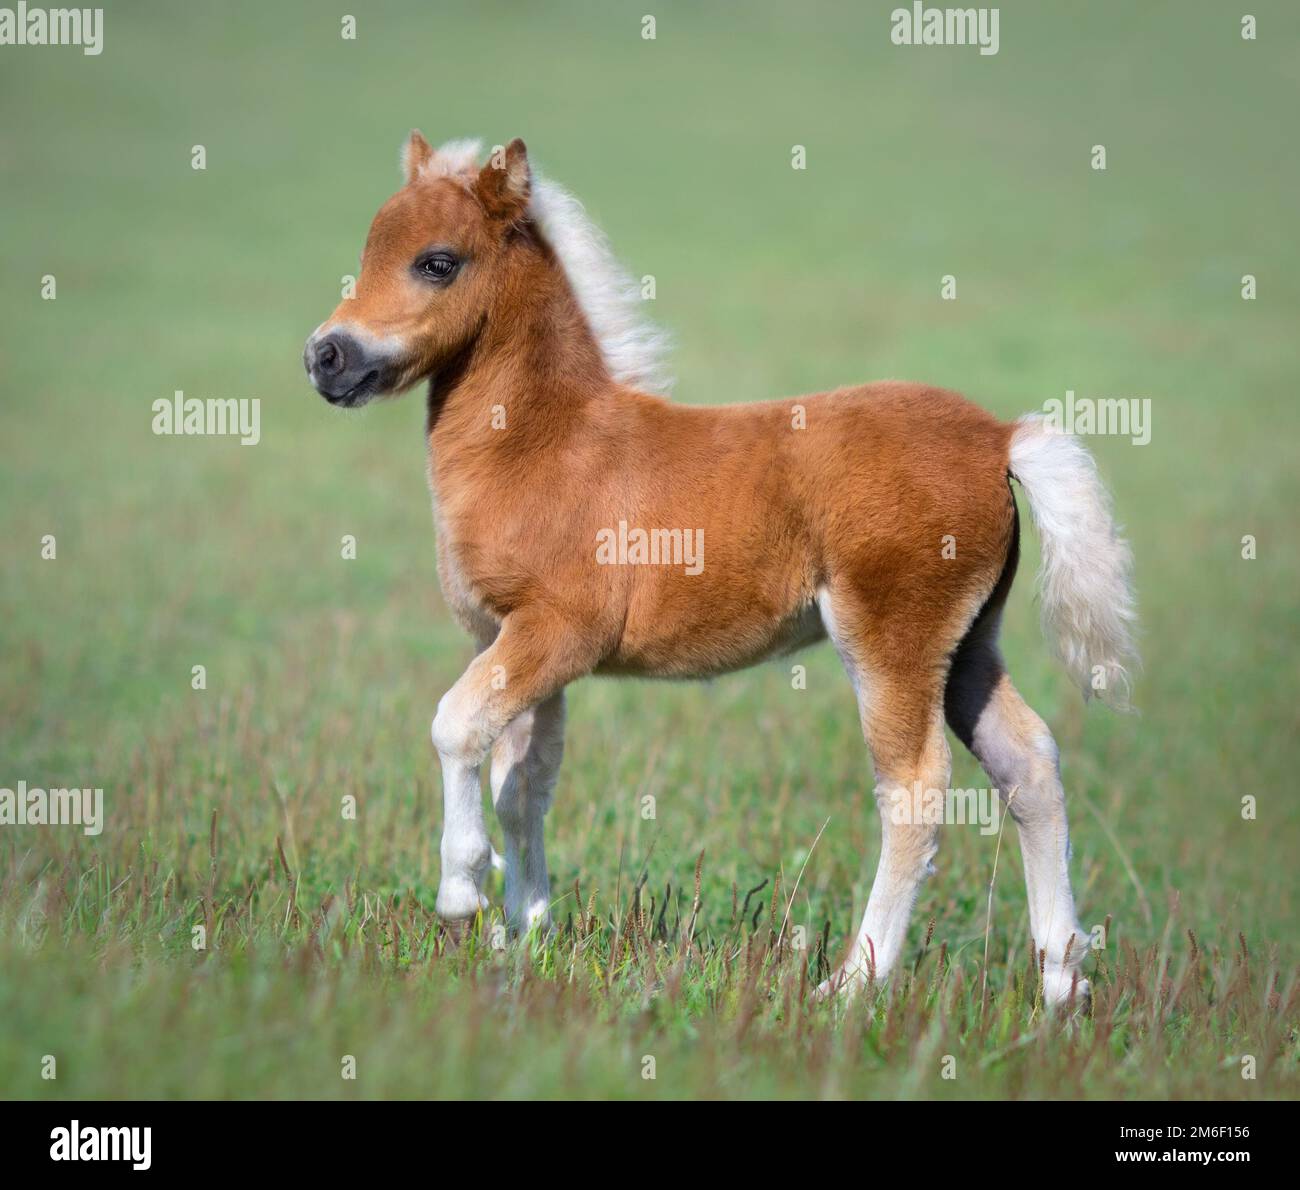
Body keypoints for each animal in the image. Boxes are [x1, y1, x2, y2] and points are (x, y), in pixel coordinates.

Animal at [303, 133, 1137, 1005]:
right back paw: (1061, 985)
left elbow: (456, 725)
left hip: (892, 640)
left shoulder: (558, 632)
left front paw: (462, 897)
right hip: (970, 643)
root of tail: (1000, 436)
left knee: (915, 790)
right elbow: (522, 785)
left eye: (437, 261)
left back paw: (853, 985)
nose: (326, 357)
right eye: (367, 251)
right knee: (1028, 763)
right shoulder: (512, 641)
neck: (547, 442)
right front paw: (525, 937)